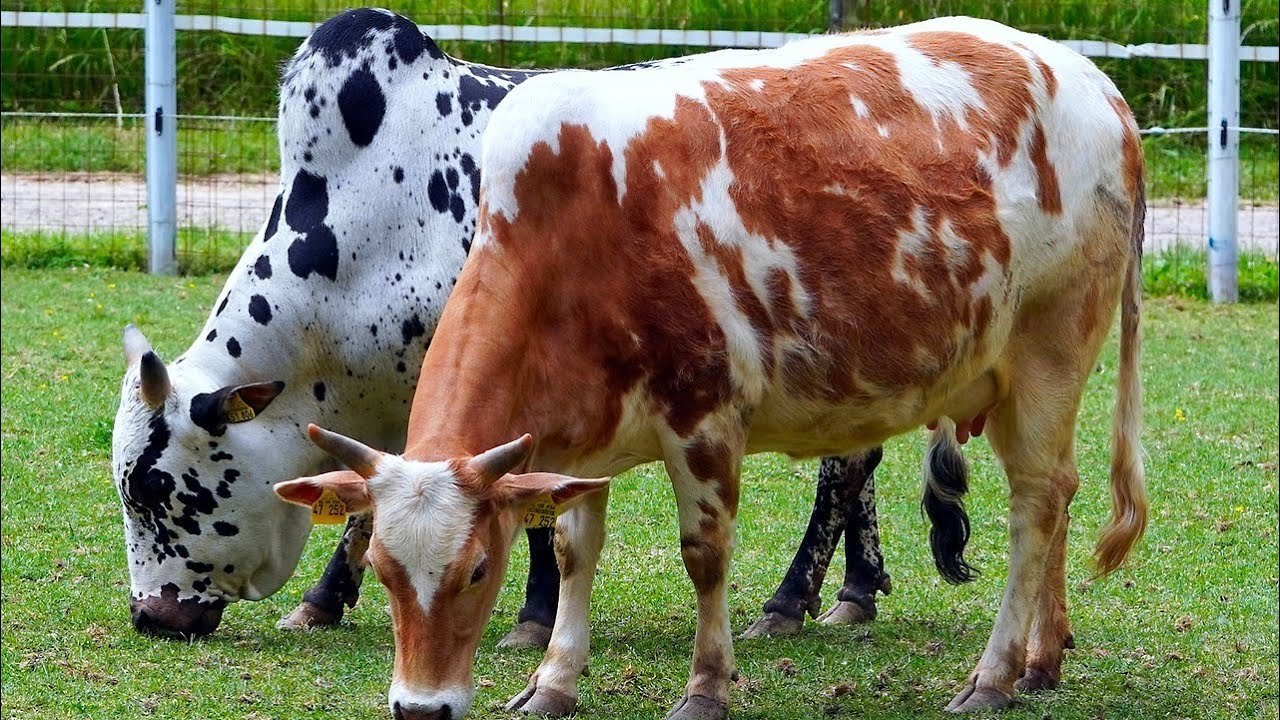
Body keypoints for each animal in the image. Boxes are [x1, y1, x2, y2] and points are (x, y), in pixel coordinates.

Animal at [110, 7, 910, 642]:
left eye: (153, 490)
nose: (151, 617)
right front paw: (324, 601)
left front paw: (533, 617)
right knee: (859, 460)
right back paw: (855, 590)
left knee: (843, 470)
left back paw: (788, 600)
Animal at [276, 16, 1148, 719]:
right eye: (381, 569)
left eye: (478, 569)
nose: (420, 707)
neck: (567, 232)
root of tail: (1096, 86)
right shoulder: (581, 439)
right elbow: (574, 548)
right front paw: (554, 681)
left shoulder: (705, 418)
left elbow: (704, 557)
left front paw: (705, 687)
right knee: (1059, 492)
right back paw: (1041, 658)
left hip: (1049, 353)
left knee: (1036, 504)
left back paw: (995, 674)